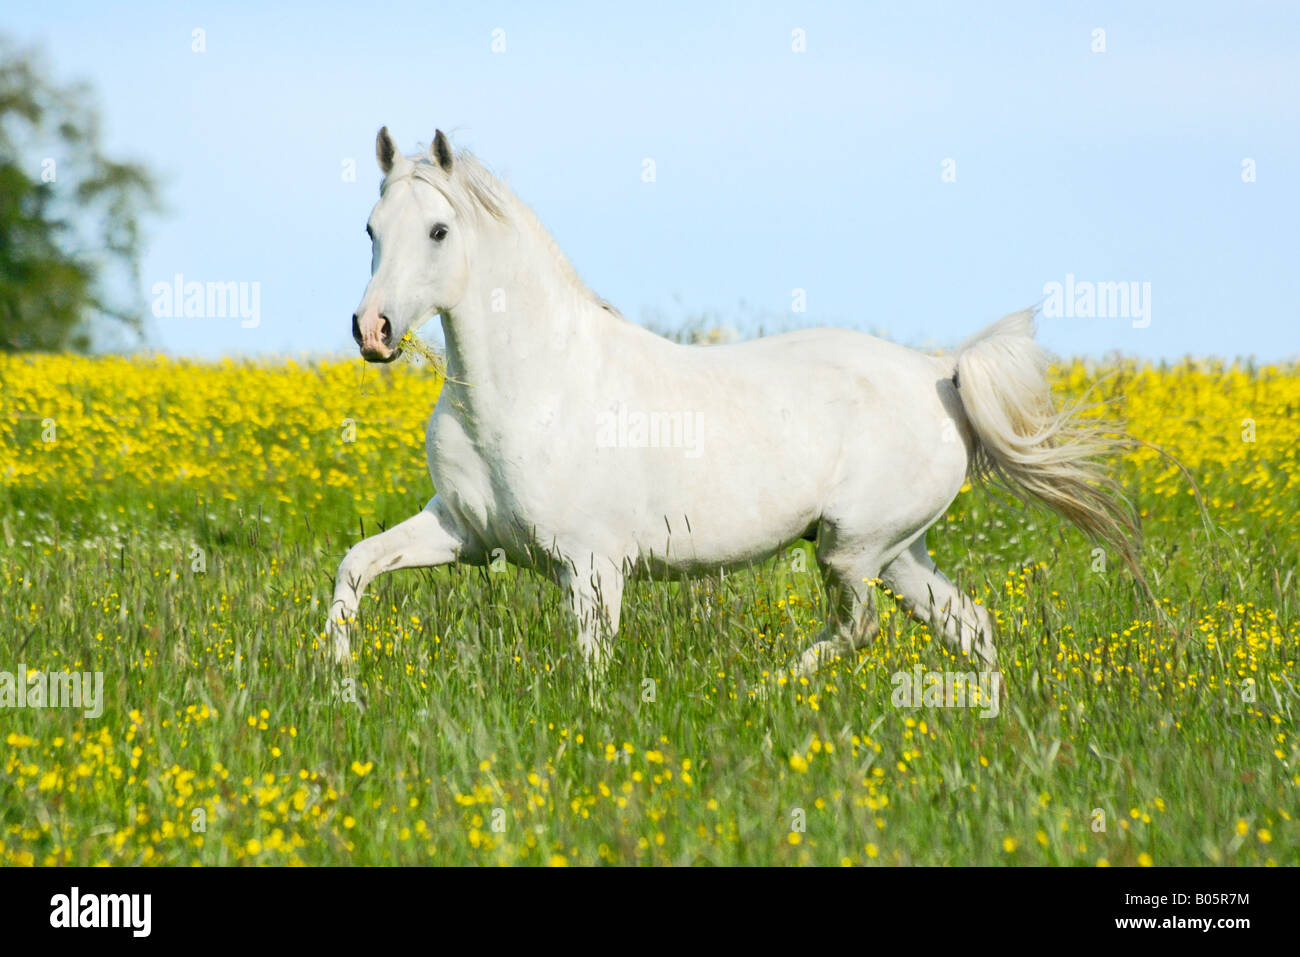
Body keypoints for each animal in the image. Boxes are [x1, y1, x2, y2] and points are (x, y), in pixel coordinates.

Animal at [327, 126, 1138, 683]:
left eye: (439, 231)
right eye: (370, 229)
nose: (374, 331)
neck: (531, 389)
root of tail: (939, 374)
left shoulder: (592, 568)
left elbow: (590, 667)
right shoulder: (463, 533)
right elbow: (355, 567)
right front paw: (339, 684)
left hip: (852, 550)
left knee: (862, 628)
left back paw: (770, 685)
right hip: (900, 551)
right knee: (969, 625)